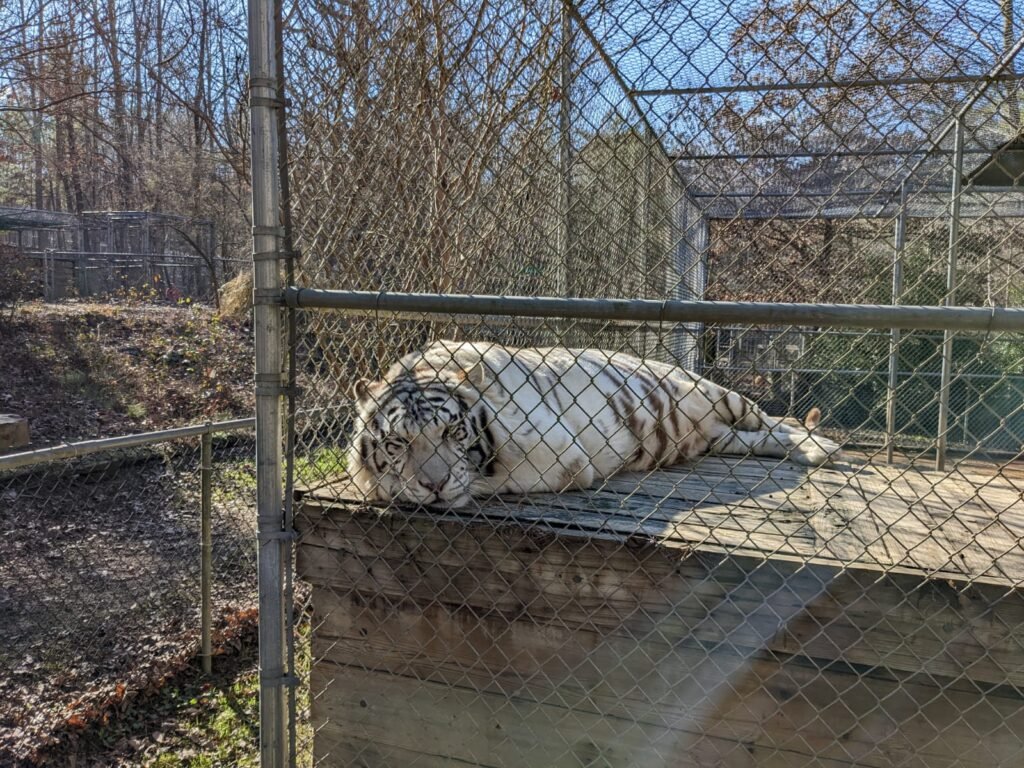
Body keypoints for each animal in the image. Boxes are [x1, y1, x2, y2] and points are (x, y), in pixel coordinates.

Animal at [346, 340, 841, 508]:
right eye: (396, 444)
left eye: (452, 432)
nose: (433, 485)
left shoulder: (559, 457)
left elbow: (479, 480)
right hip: (723, 438)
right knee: (760, 439)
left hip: (723, 396)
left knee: (778, 421)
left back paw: (823, 448)